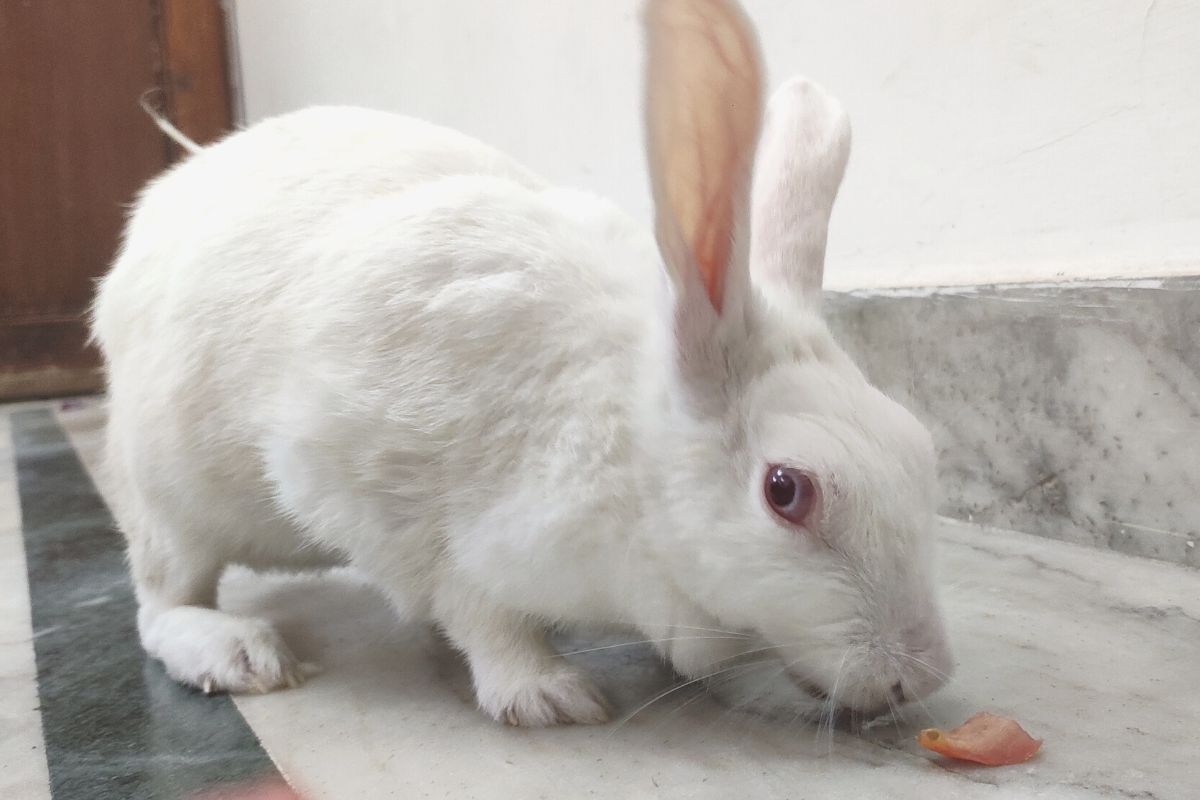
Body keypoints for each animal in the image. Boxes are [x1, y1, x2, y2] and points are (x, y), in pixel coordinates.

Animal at [91, 0, 952, 728]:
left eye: (920, 447)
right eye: (786, 491)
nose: (922, 677)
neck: (624, 456)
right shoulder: (380, 495)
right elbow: (476, 606)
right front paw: (548, 694)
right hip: (170, 503)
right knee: (159, 605)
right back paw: (239, 653)